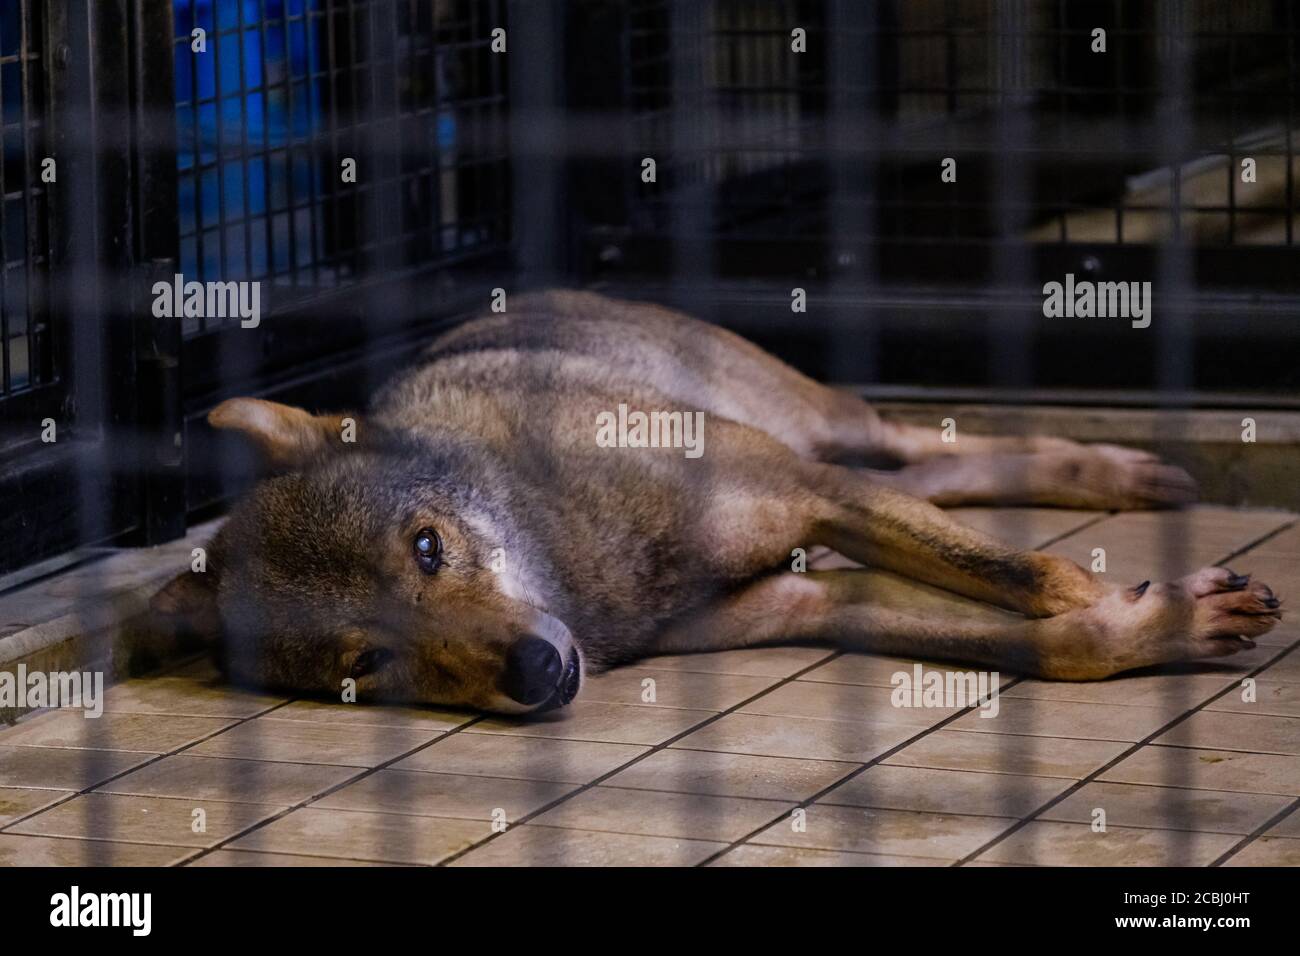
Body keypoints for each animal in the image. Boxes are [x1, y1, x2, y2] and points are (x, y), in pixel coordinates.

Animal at [152, 290, 1280, 714]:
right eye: (367, 666)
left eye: (427, 549)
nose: (537, 672)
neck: (584, 570)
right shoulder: (816, 599)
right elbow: (1045, 640)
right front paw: (1149, 623)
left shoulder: (814, 494)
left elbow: (1034, 576)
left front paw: (1154, 603)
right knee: (938, 474)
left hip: (825, 426)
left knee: (931, 445)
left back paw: (1121, 473)